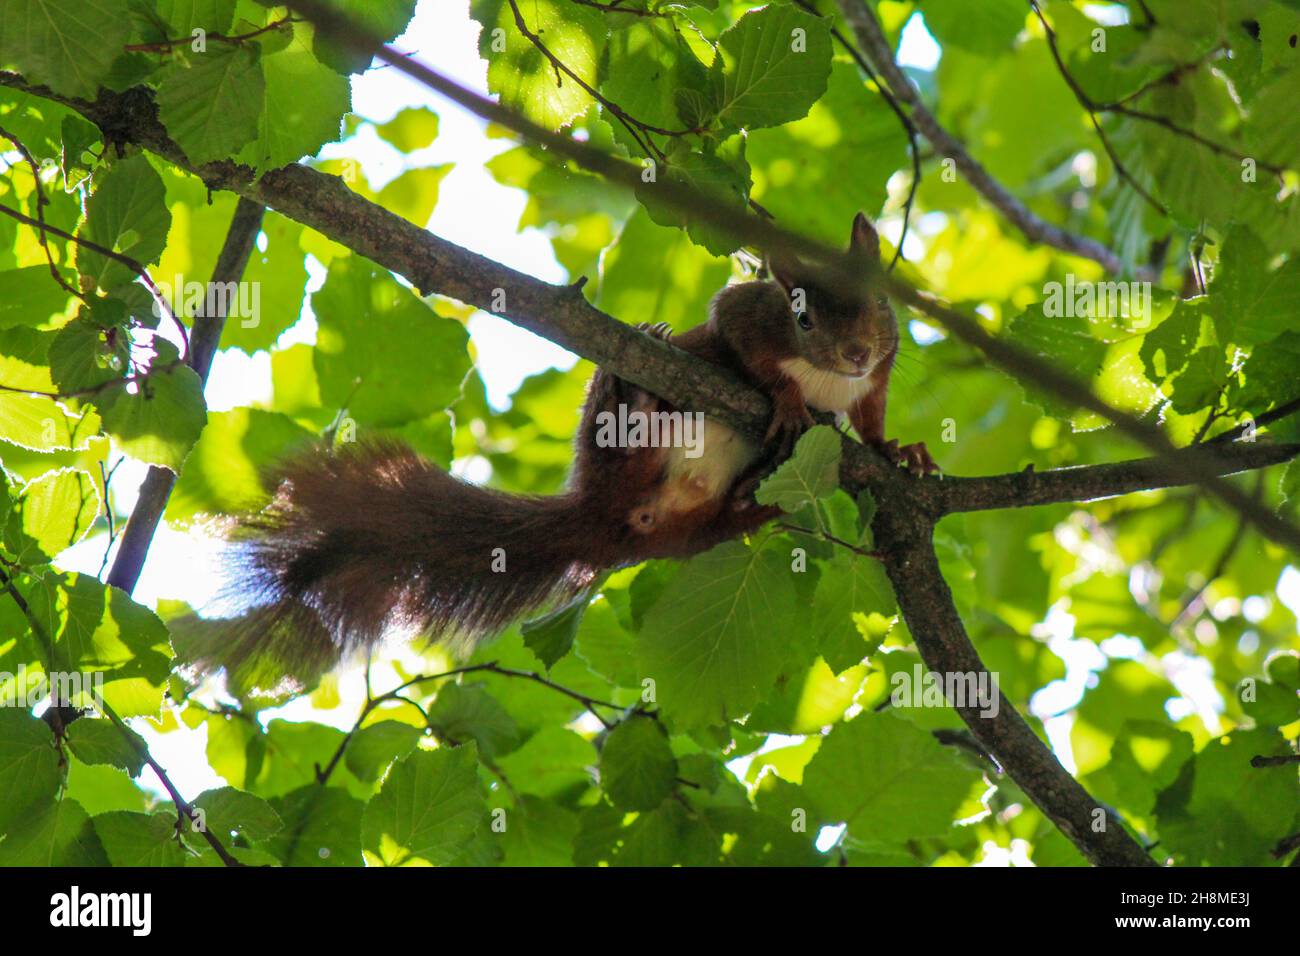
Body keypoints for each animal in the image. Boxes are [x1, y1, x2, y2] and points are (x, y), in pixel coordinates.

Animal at [201, 213, 934, 682]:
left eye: (878, 303)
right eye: (803, 314)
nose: (855, 351)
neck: (831, 377)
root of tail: (611, 520)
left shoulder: (878, 378)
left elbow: (871, 421)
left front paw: (902, 452)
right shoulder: (745, 316)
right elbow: (743, 339)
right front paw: (785, 399)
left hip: (712, 525)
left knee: (741, 512)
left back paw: (756, 489)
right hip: (611, 447)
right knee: (627, 427)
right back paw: (633, 394)